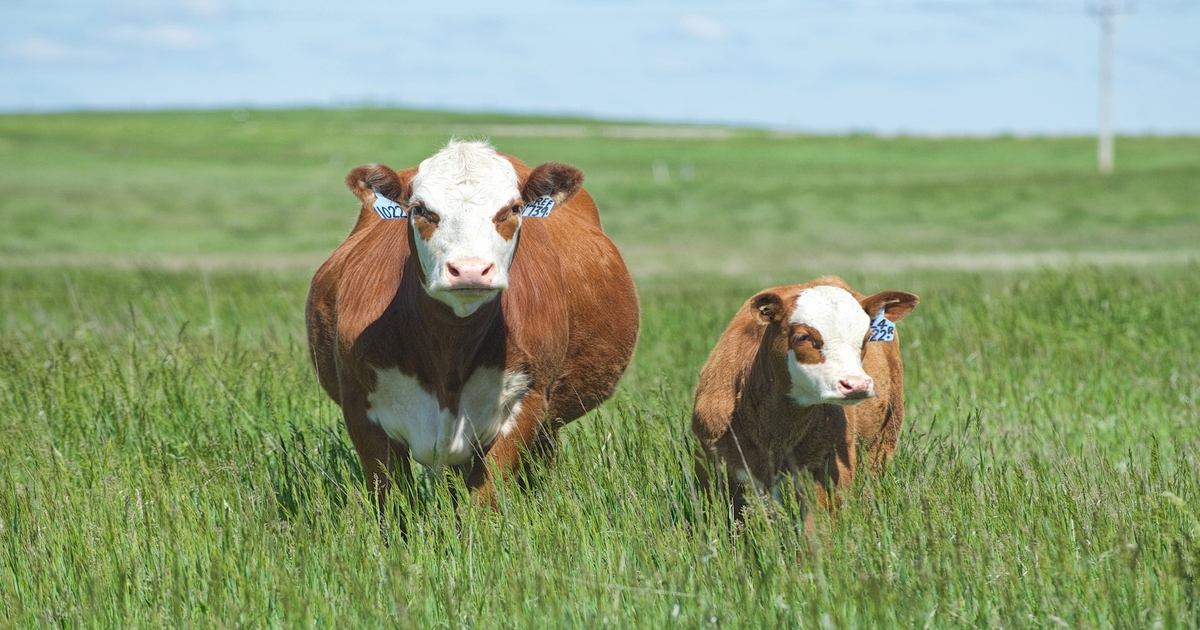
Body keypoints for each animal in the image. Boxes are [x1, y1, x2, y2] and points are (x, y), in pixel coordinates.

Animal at [306, 139, 640, 510]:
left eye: (514, 208)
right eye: (420, 209)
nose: (469, 270)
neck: (450, 351)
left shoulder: (525, 403)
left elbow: (484, 501)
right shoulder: (359, 406)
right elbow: (392, 502)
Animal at [691, 275, 918, 521]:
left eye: (867, 338)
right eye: (803, 336)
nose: (856, 384)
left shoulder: (829, 465)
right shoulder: (712, 463)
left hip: (885, 438)